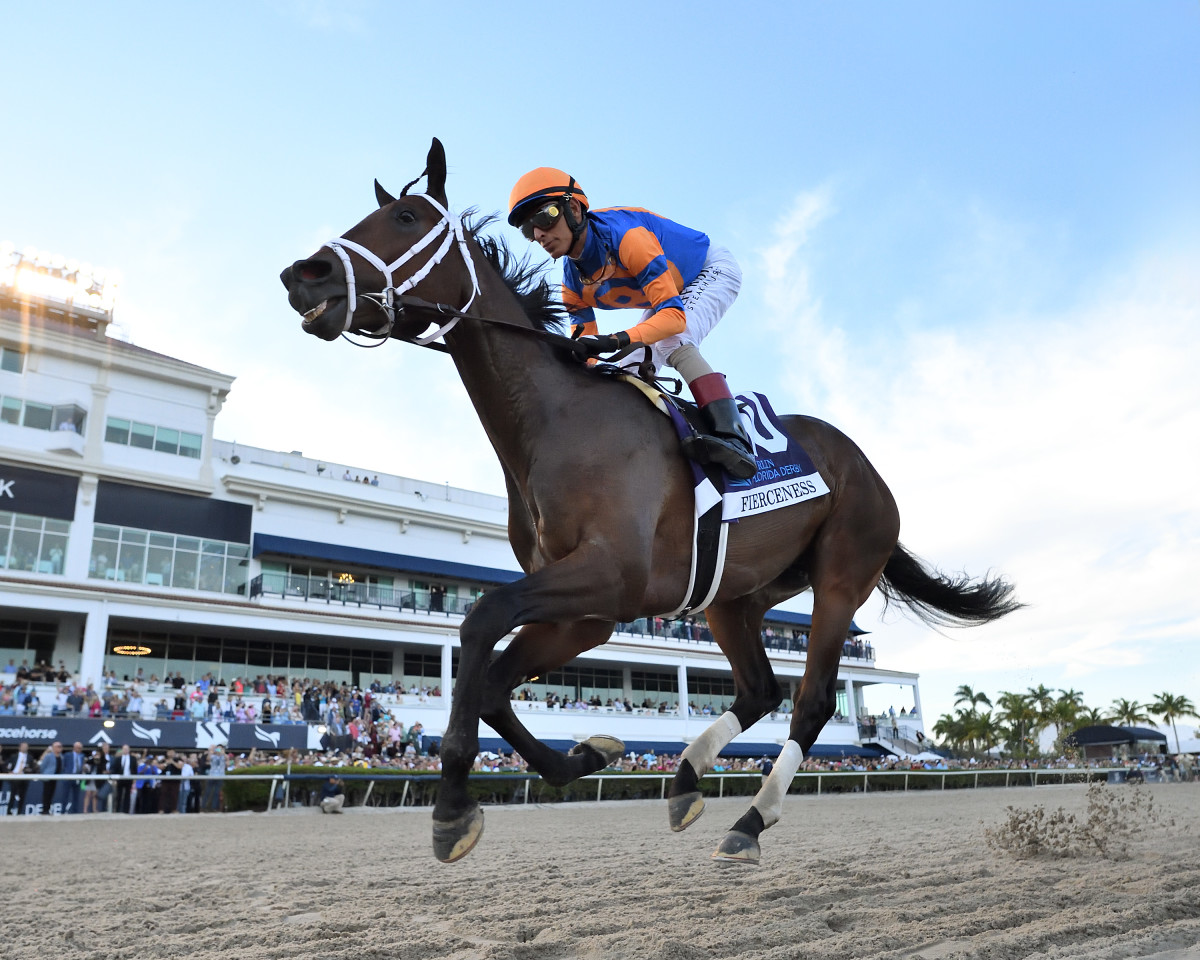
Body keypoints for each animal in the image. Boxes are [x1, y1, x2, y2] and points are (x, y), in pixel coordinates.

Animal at [281, 138, 1021, 865]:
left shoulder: (611, 576)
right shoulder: (590, 611)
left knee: (809, 701)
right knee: (761, 688)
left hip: (841, 575)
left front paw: (453, 807)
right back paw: (687, 777)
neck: (557, 420)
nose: (302, 275)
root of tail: (865, 466)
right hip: (734, 595)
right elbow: (491, 684)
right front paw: (587, 754)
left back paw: (750, 820)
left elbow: (480, 621)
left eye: (406, 218)